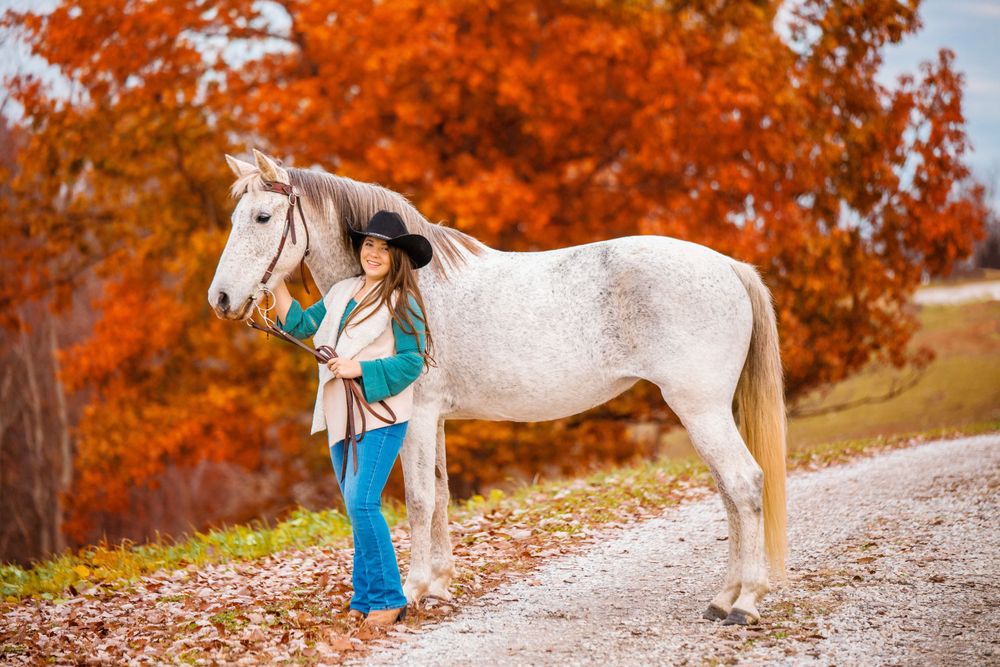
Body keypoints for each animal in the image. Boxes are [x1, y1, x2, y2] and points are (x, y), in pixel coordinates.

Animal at [208, 149, 788, 625]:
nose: (221, 298)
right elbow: (441, 493)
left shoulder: (417, 414)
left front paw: (413, 591)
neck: (404, 283)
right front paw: (440, 587)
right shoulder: (436, 418)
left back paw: (744, 602)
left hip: (700, 408)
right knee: (729, 492)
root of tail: (729, 266)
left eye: (262, 218)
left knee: (744, 484)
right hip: (705, 412)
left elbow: (418, 498)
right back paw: (723, 598)